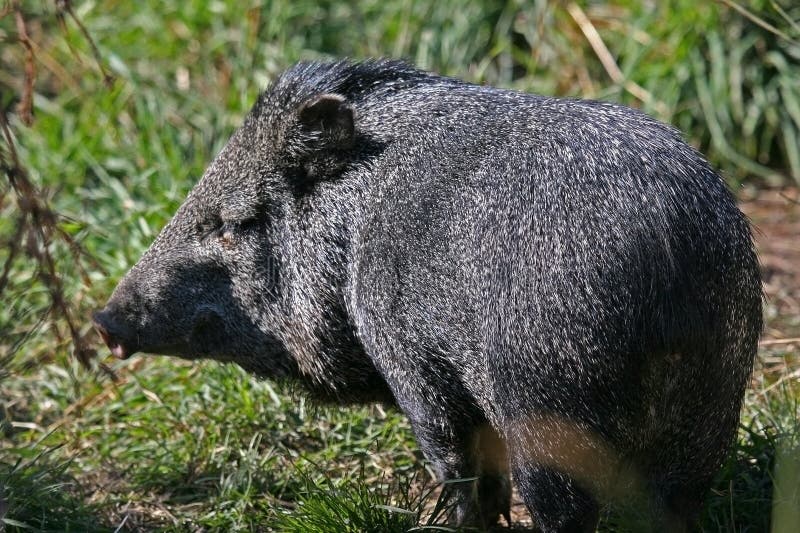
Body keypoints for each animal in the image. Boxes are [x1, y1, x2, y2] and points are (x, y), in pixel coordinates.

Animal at [93, 59, 762, 531]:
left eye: (234, 223)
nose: (103, 320)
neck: (352, 228)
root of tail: (670, 260)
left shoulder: (414, 362)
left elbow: (457, 467)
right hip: (708, 416)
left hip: (549, 407)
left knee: (561, 507)